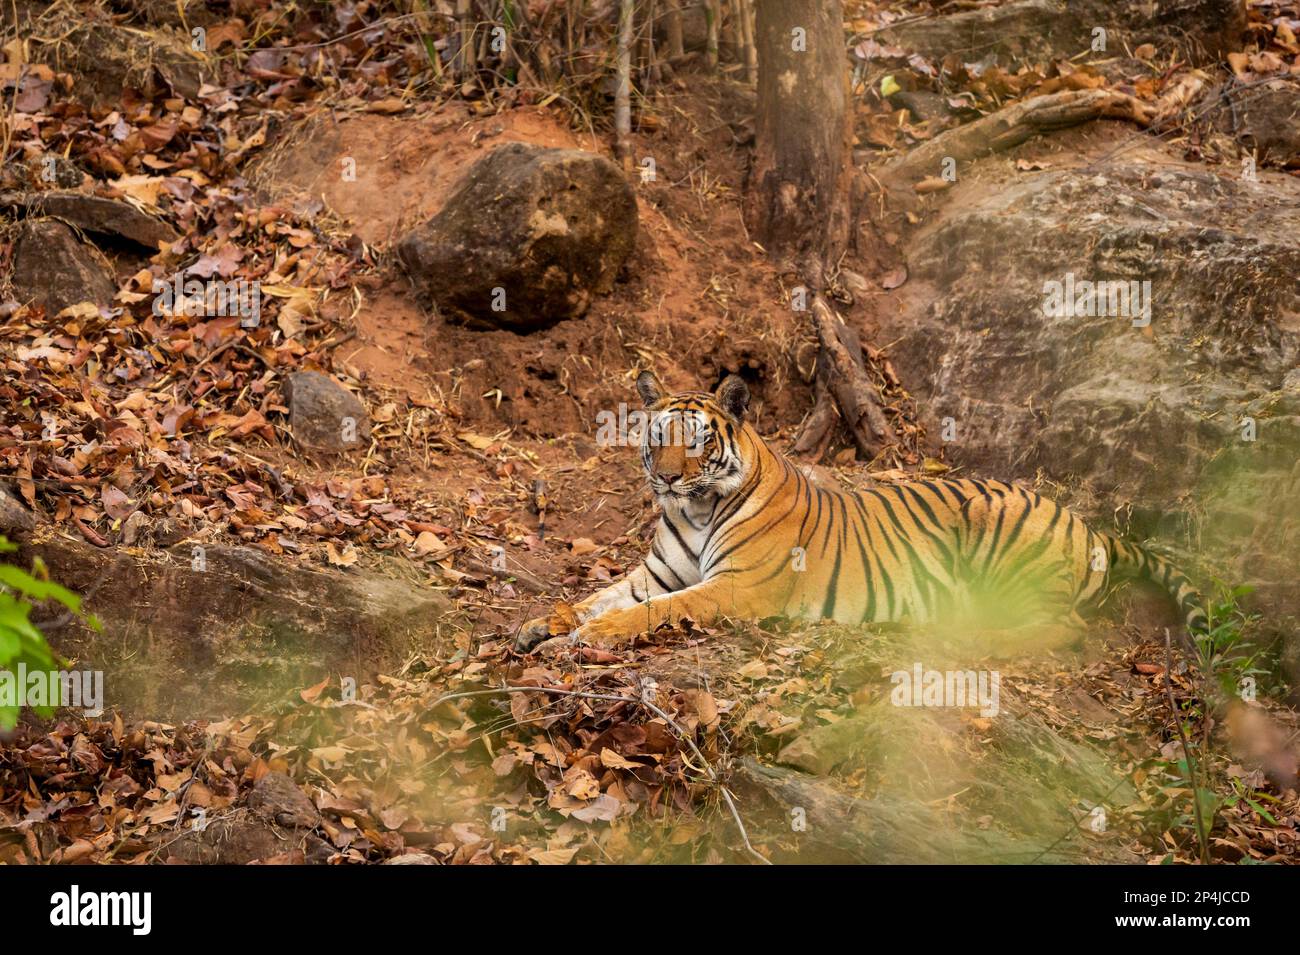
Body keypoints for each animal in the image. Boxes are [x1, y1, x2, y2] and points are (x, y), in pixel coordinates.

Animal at [514, 372, 1208, 652]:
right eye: (657, 435)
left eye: (698, 440)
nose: (664, 476)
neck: (693, 511)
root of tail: (1090, 527)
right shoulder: (653, 574)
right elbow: (596, 595)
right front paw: (541, 624)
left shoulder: (735, 588)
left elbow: (650, 613)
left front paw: (591, 636)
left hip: (1005, 542)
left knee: (1062, 628)